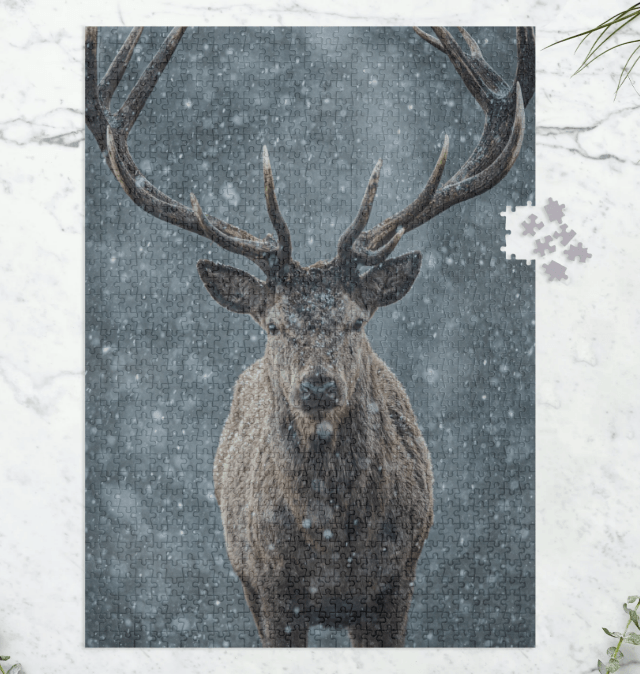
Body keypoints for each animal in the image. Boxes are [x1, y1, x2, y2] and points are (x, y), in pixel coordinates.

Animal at [85, 26, 535, 647]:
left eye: (356, 320)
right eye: (273, 324)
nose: (318, 386)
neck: (332, 548)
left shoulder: (396, 584)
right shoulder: (272, 594)